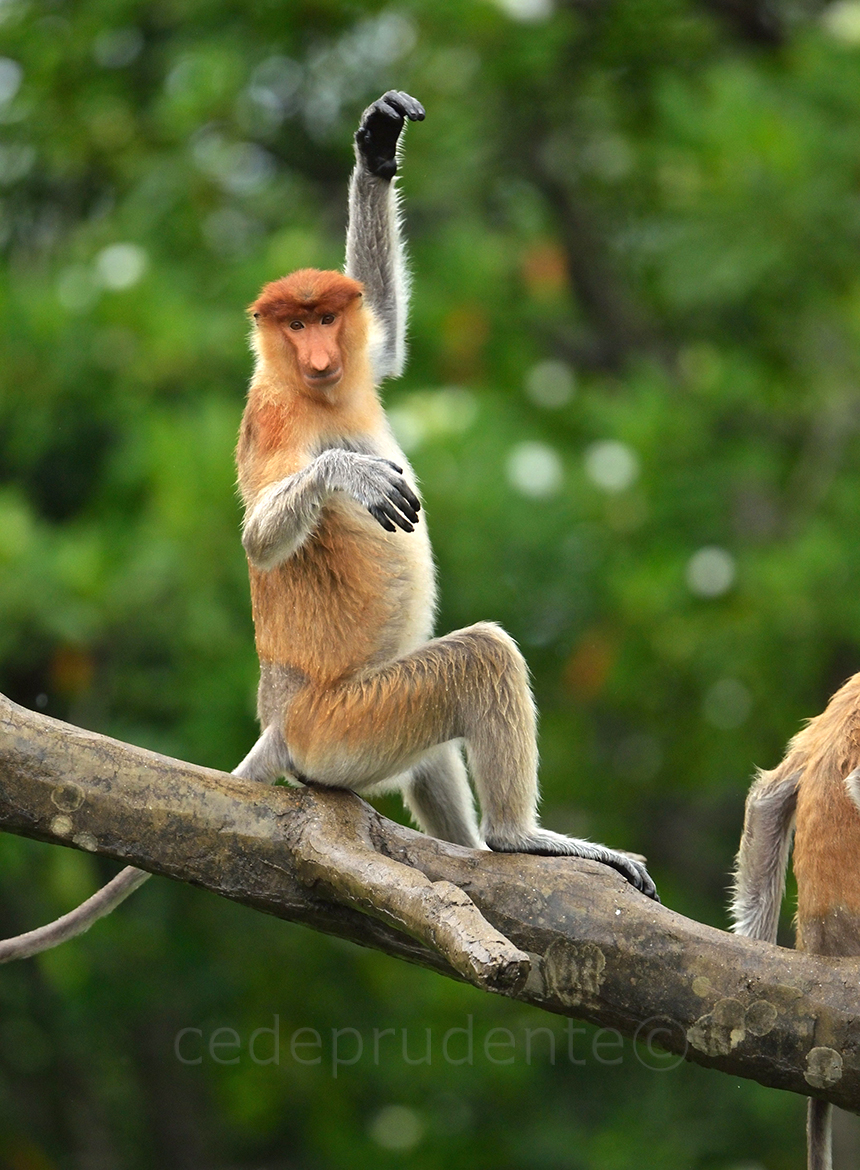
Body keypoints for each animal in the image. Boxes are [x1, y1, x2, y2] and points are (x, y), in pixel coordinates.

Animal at [0, 90, 655, 964]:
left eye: (322, 317)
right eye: (294, 323)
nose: (315, 350)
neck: (318, 394)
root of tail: (283, 718)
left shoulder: (358, 363)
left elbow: (385, 339)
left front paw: (378, 144)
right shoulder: (275, 420)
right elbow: (260, 537)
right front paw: (354, 477)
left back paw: (473, 855)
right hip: (344, 728)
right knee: (478, 658)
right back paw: (518, 840)